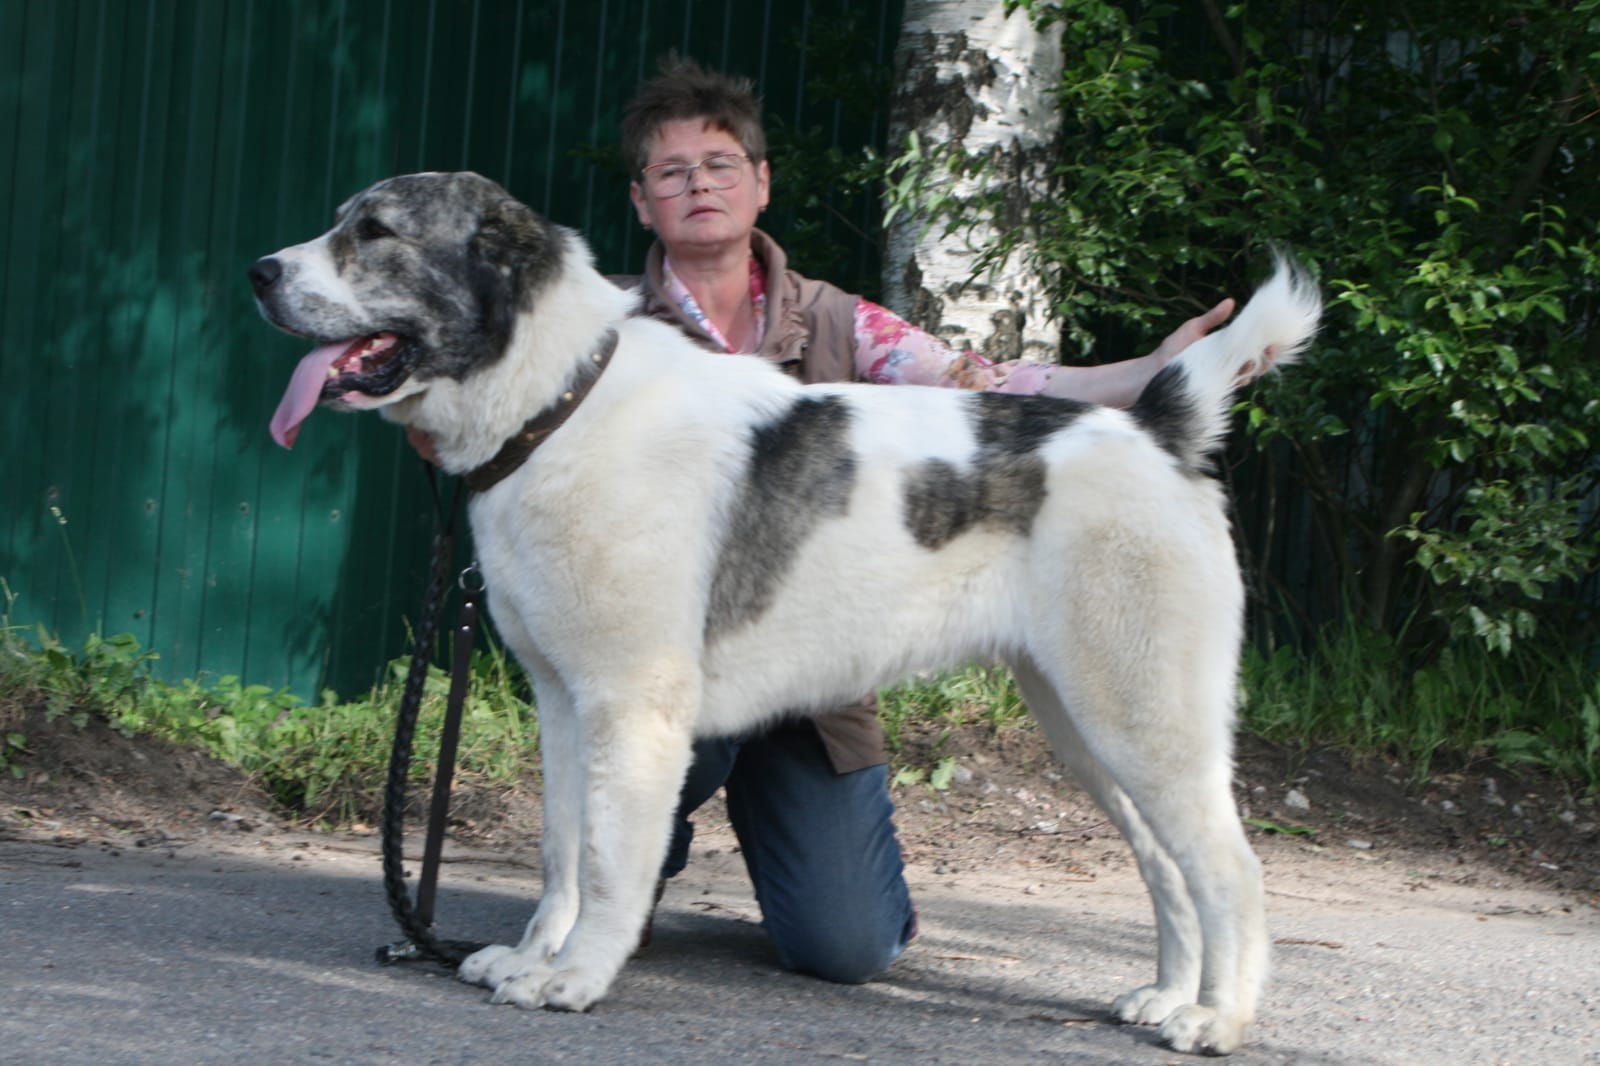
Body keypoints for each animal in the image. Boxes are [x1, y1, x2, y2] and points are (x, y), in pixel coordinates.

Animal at [249, 170, 1318, 1049]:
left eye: (375, 231)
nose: (259, 272)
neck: (564, 402)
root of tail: (1157, 428)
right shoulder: (564, 699)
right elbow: (560, 850)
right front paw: (533, 957)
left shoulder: (631, 705)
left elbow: (608, 855)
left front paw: (578, 979)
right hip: (1088, 728)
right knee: (1168, 868)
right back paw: (1167, 995)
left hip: (1145, 720)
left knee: (1230, 869)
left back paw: (1217, 1020)